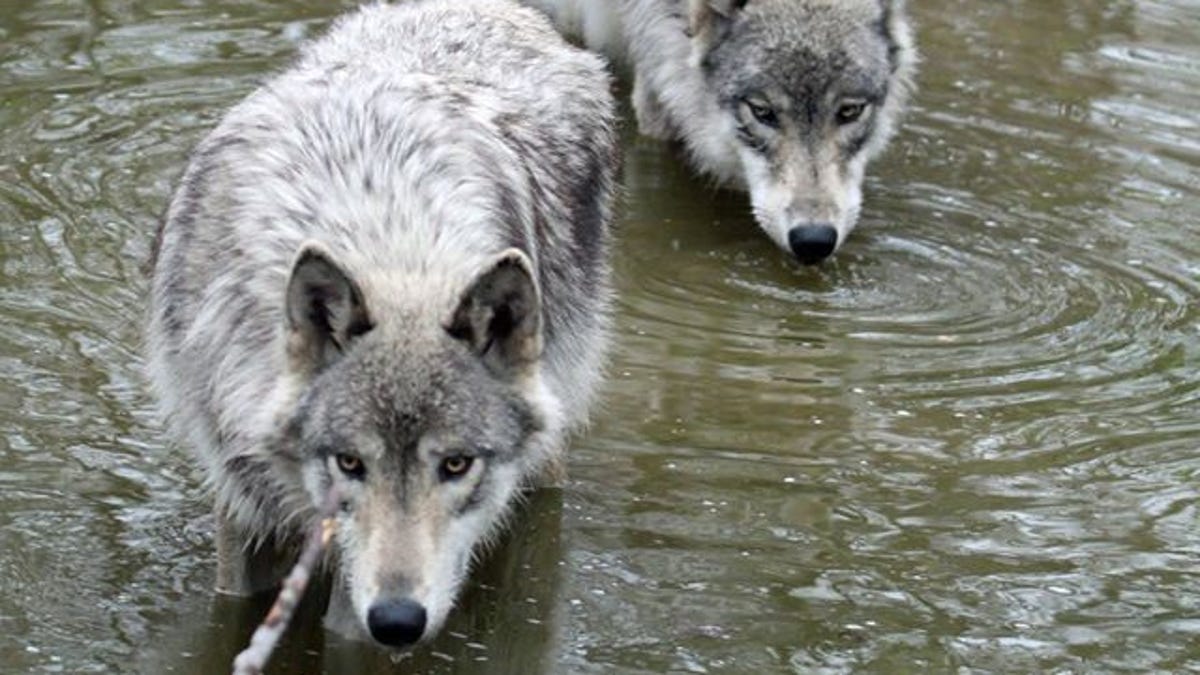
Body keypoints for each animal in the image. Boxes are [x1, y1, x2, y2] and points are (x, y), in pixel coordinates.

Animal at [145, 0, 617, 649]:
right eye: (350, 463)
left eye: (455, 465)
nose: (398, 621)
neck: (382, 239)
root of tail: (494, 10)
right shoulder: (241, 498)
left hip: (548, 449)